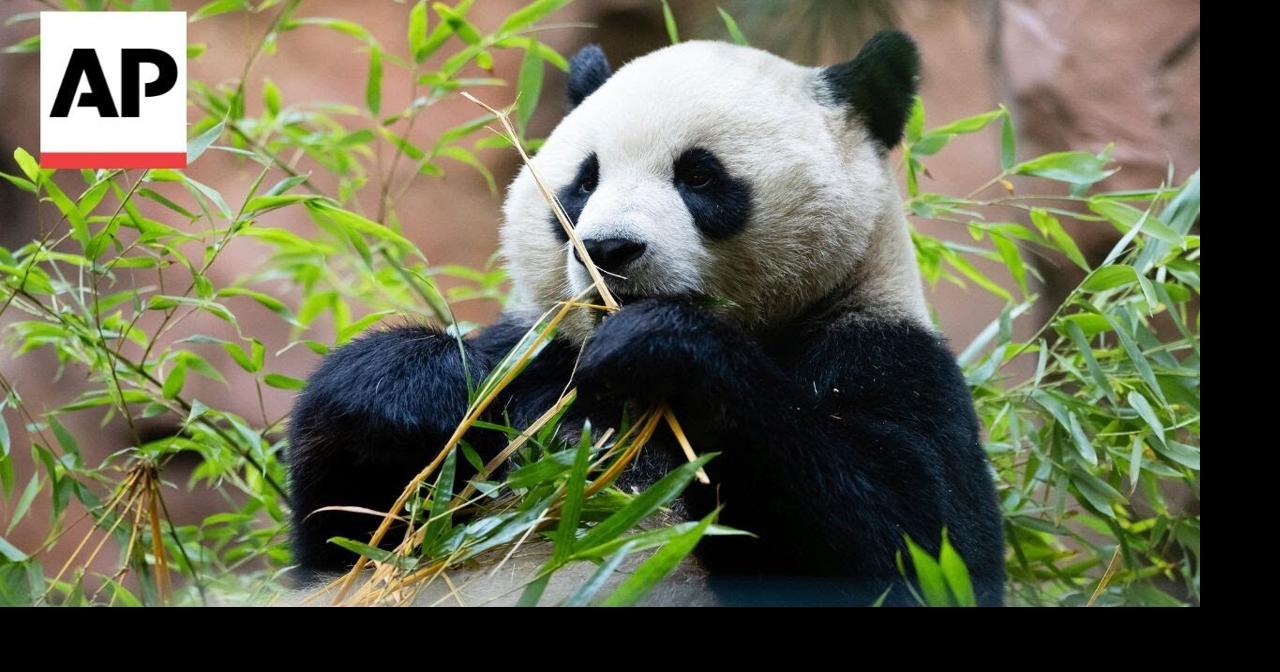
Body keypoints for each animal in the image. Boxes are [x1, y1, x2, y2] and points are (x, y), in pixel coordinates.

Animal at [287, 30, 1005, 607]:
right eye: (584, 181)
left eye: (699, 175)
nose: (609, 250)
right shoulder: (541, 361)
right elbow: (348, 532)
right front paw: (426, 389)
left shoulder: (887, 354)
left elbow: (916, 545)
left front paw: (666, 346)